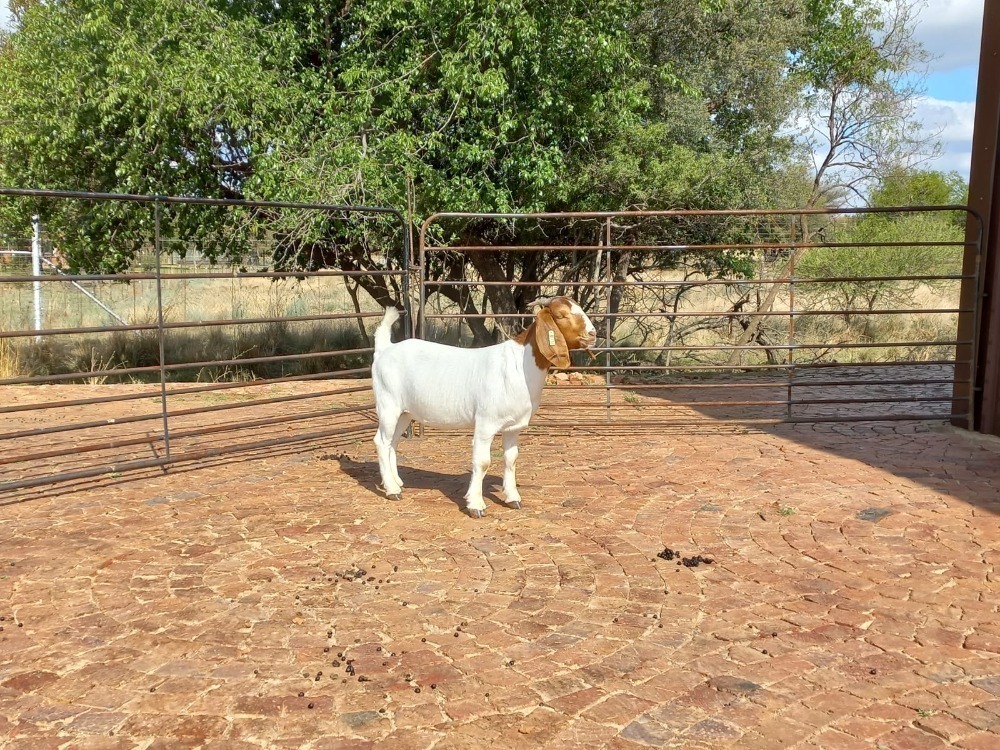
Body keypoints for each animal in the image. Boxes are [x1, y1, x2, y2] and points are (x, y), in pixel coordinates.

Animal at [371, 296, 597, 517]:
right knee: (382, 442)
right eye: (562, 315)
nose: (593, 334)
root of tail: (385, 349)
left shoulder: (513, 427)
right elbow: (482, 462)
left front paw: (512, 498)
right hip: (388, 405)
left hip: (405, 412)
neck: (519, 365)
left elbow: (511, 459)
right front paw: (476, 505)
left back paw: (396, 482)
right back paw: (392, 490)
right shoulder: (486, 423)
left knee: (393, 442)